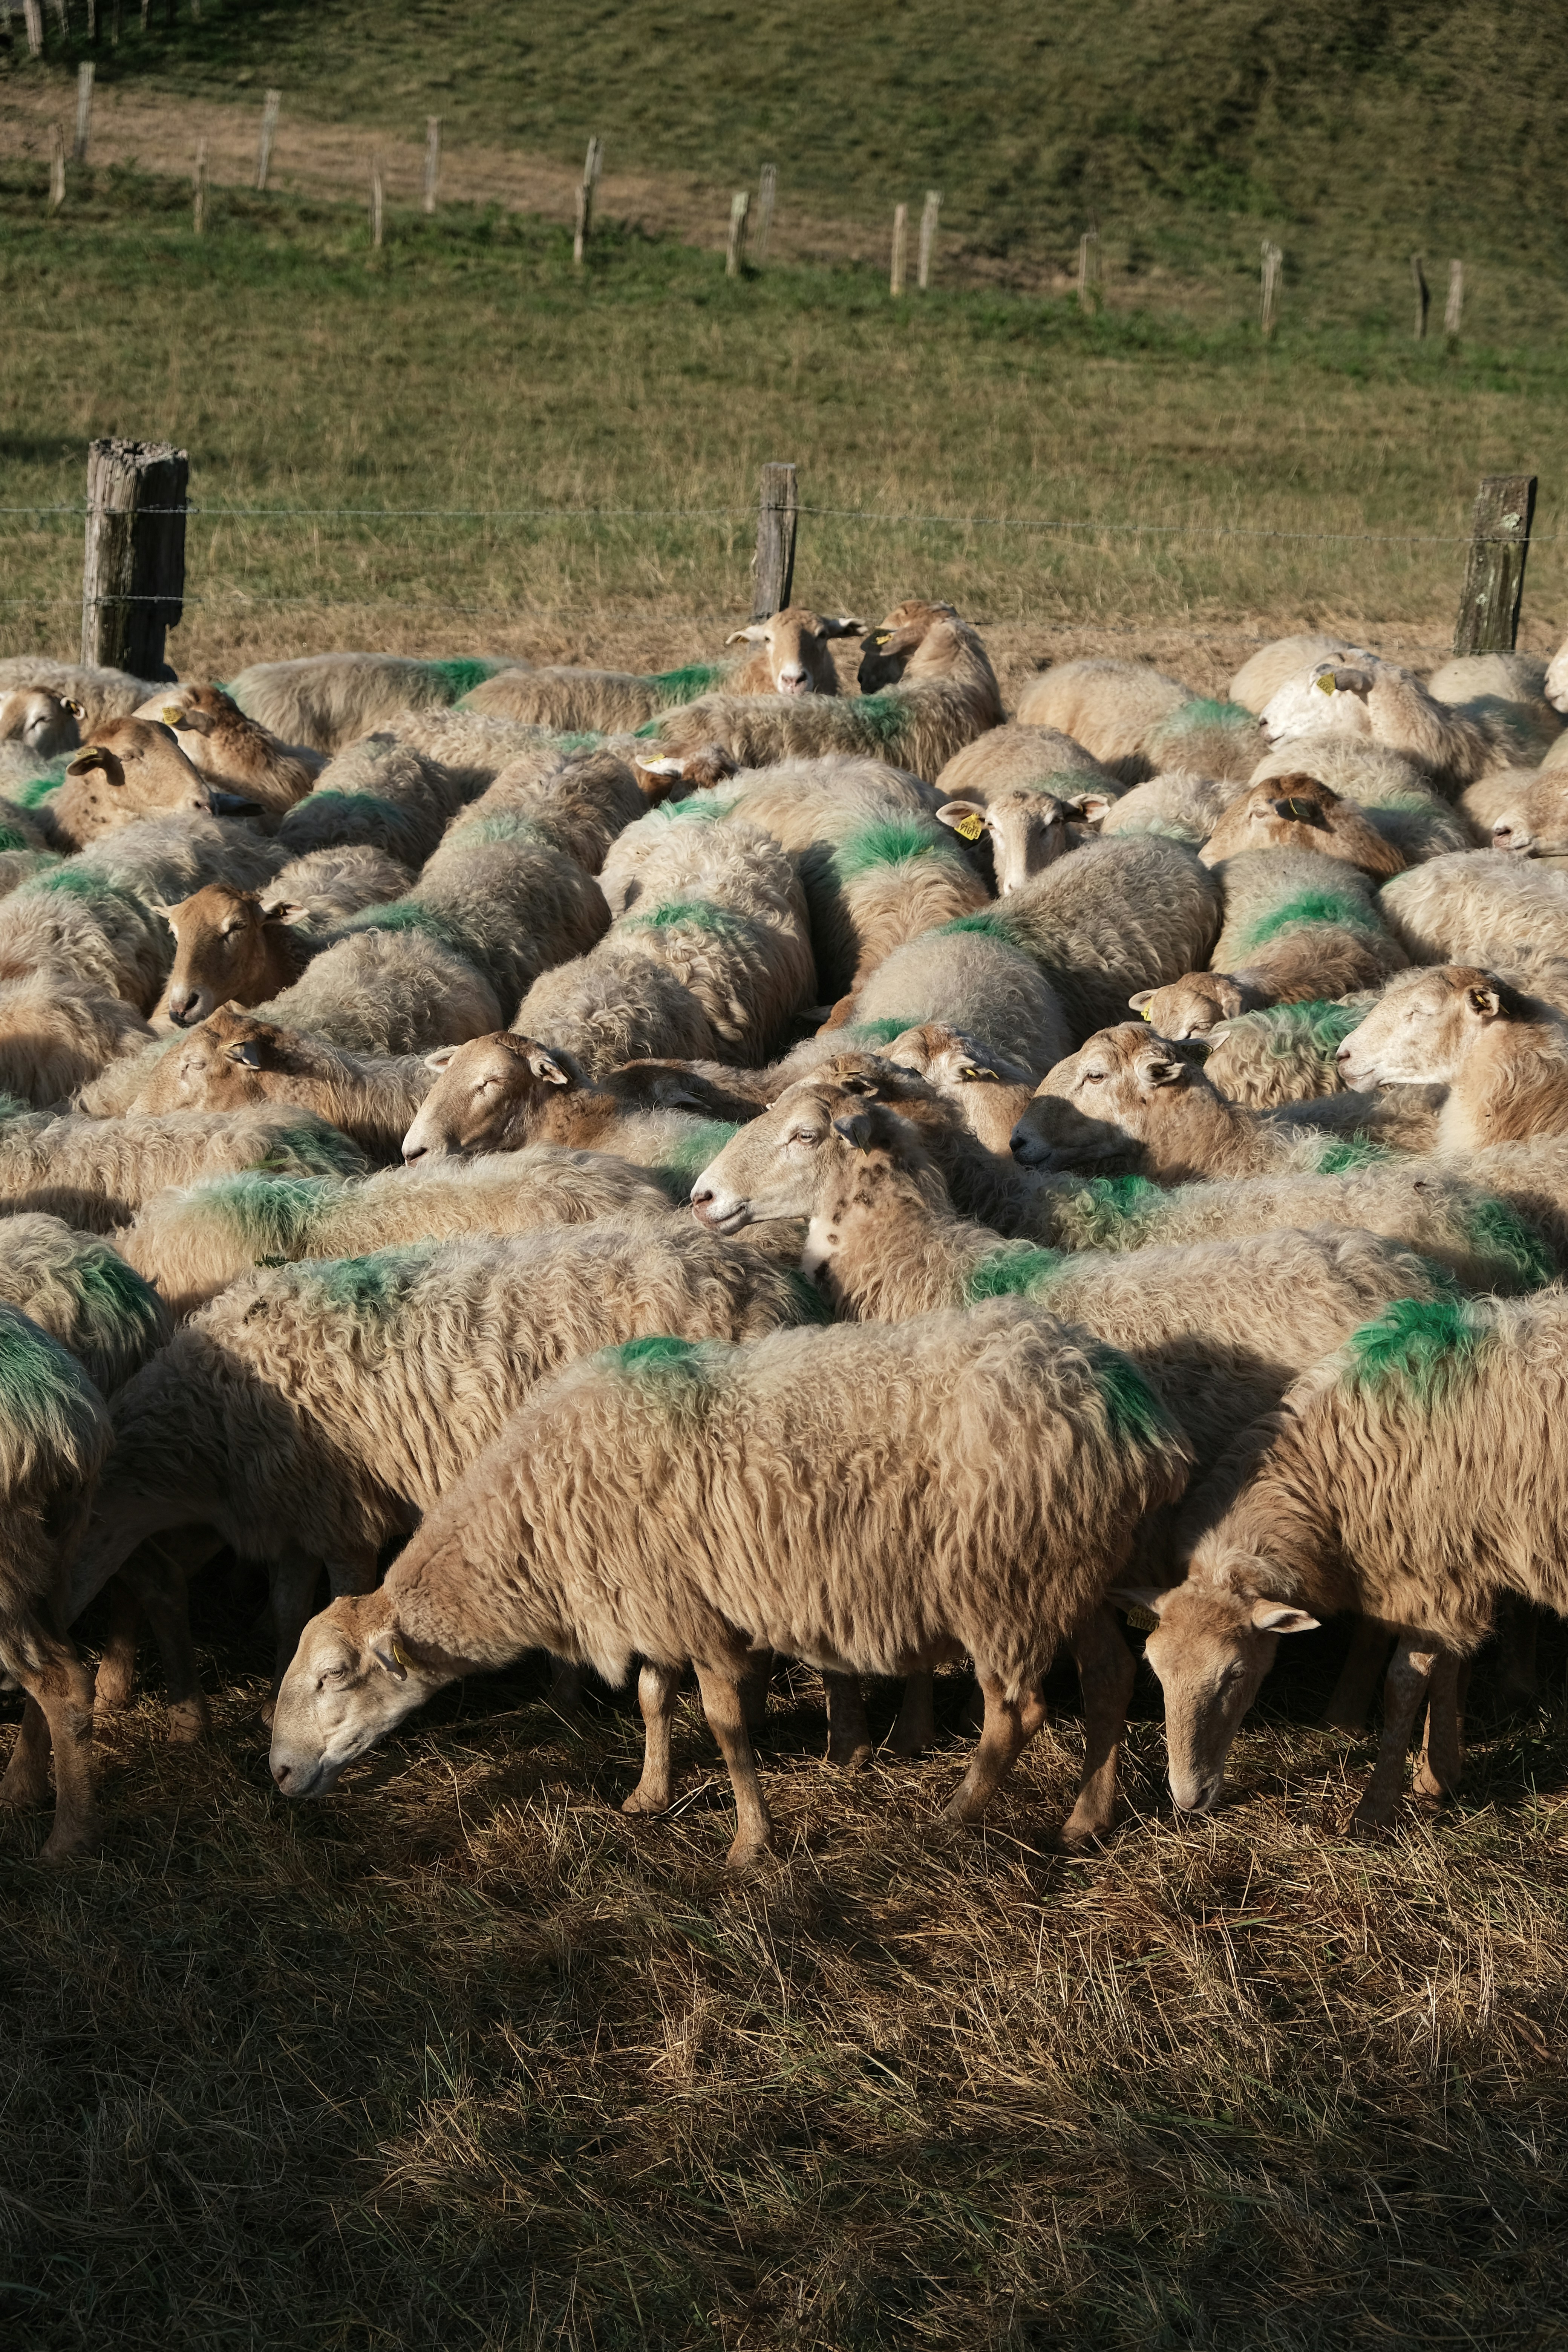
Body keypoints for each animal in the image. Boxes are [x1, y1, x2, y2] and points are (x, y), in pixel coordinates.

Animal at [66, 1218, 819, 1714]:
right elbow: (285, 1609)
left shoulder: (343, 1516)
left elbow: (333, 1601)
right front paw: (279, 1689)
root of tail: (769, 1284)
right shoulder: (295, 1510)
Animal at [268, 1296, 1191, 1862]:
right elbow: (651, 1699)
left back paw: (958, 1814)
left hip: (1003, 1578)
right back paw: (1085, 1820)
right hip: (1073, 1570)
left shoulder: (699, 1615)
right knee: (1110, 1678)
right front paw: (648, 1793)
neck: (530, 1517)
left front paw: (750, 1840)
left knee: (1019, 1710)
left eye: (333, 1678)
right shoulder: (656, 1604)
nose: (276, 1776)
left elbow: (726, 1726)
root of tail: (1131, 1416)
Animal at [1130, 1291, 1568, 1826]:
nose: (1187, 1798)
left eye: (1234, 1674)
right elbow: (1448, 1664)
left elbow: (1404, 1682)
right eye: (1155, 1669)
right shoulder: (1453, 1568)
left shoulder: (1430, 1571)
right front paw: (1438, 1776)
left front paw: (1374, 1811)